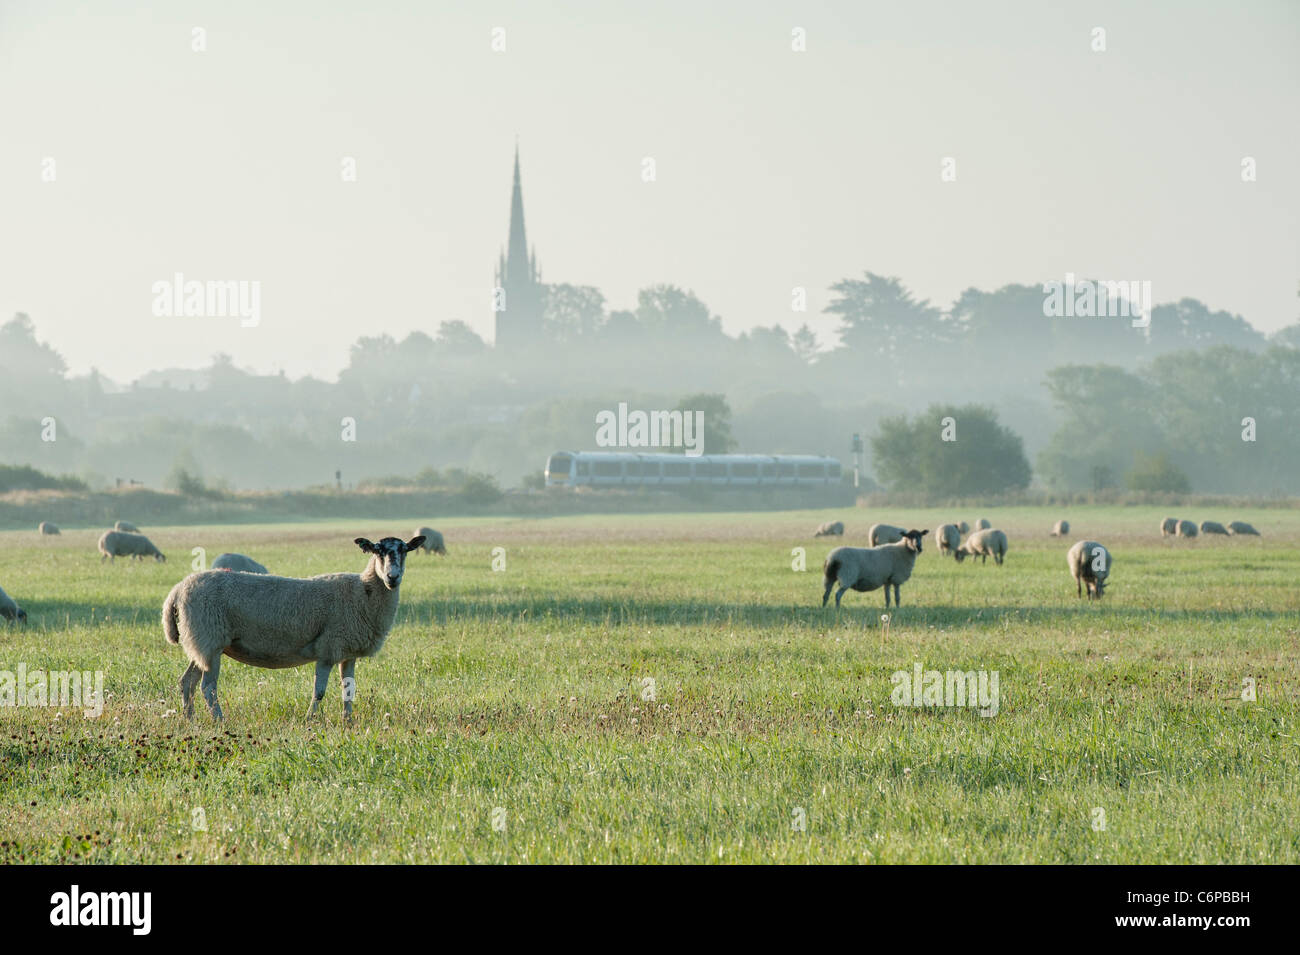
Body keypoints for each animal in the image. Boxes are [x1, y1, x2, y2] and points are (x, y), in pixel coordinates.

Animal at [162, 535, 425, 721]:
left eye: (404, 551)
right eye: (377, 551)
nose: (392, 577)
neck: (363, 592)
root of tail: (177, 591)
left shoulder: (347, 652)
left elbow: (348, 690)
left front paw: (348, 721)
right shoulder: (329, 647)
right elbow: (319, 692)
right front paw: (310, 719)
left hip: (200, 643)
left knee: (187, 682)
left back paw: (190, 719)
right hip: (210, 640)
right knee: (208, 687)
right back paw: (219, 720)